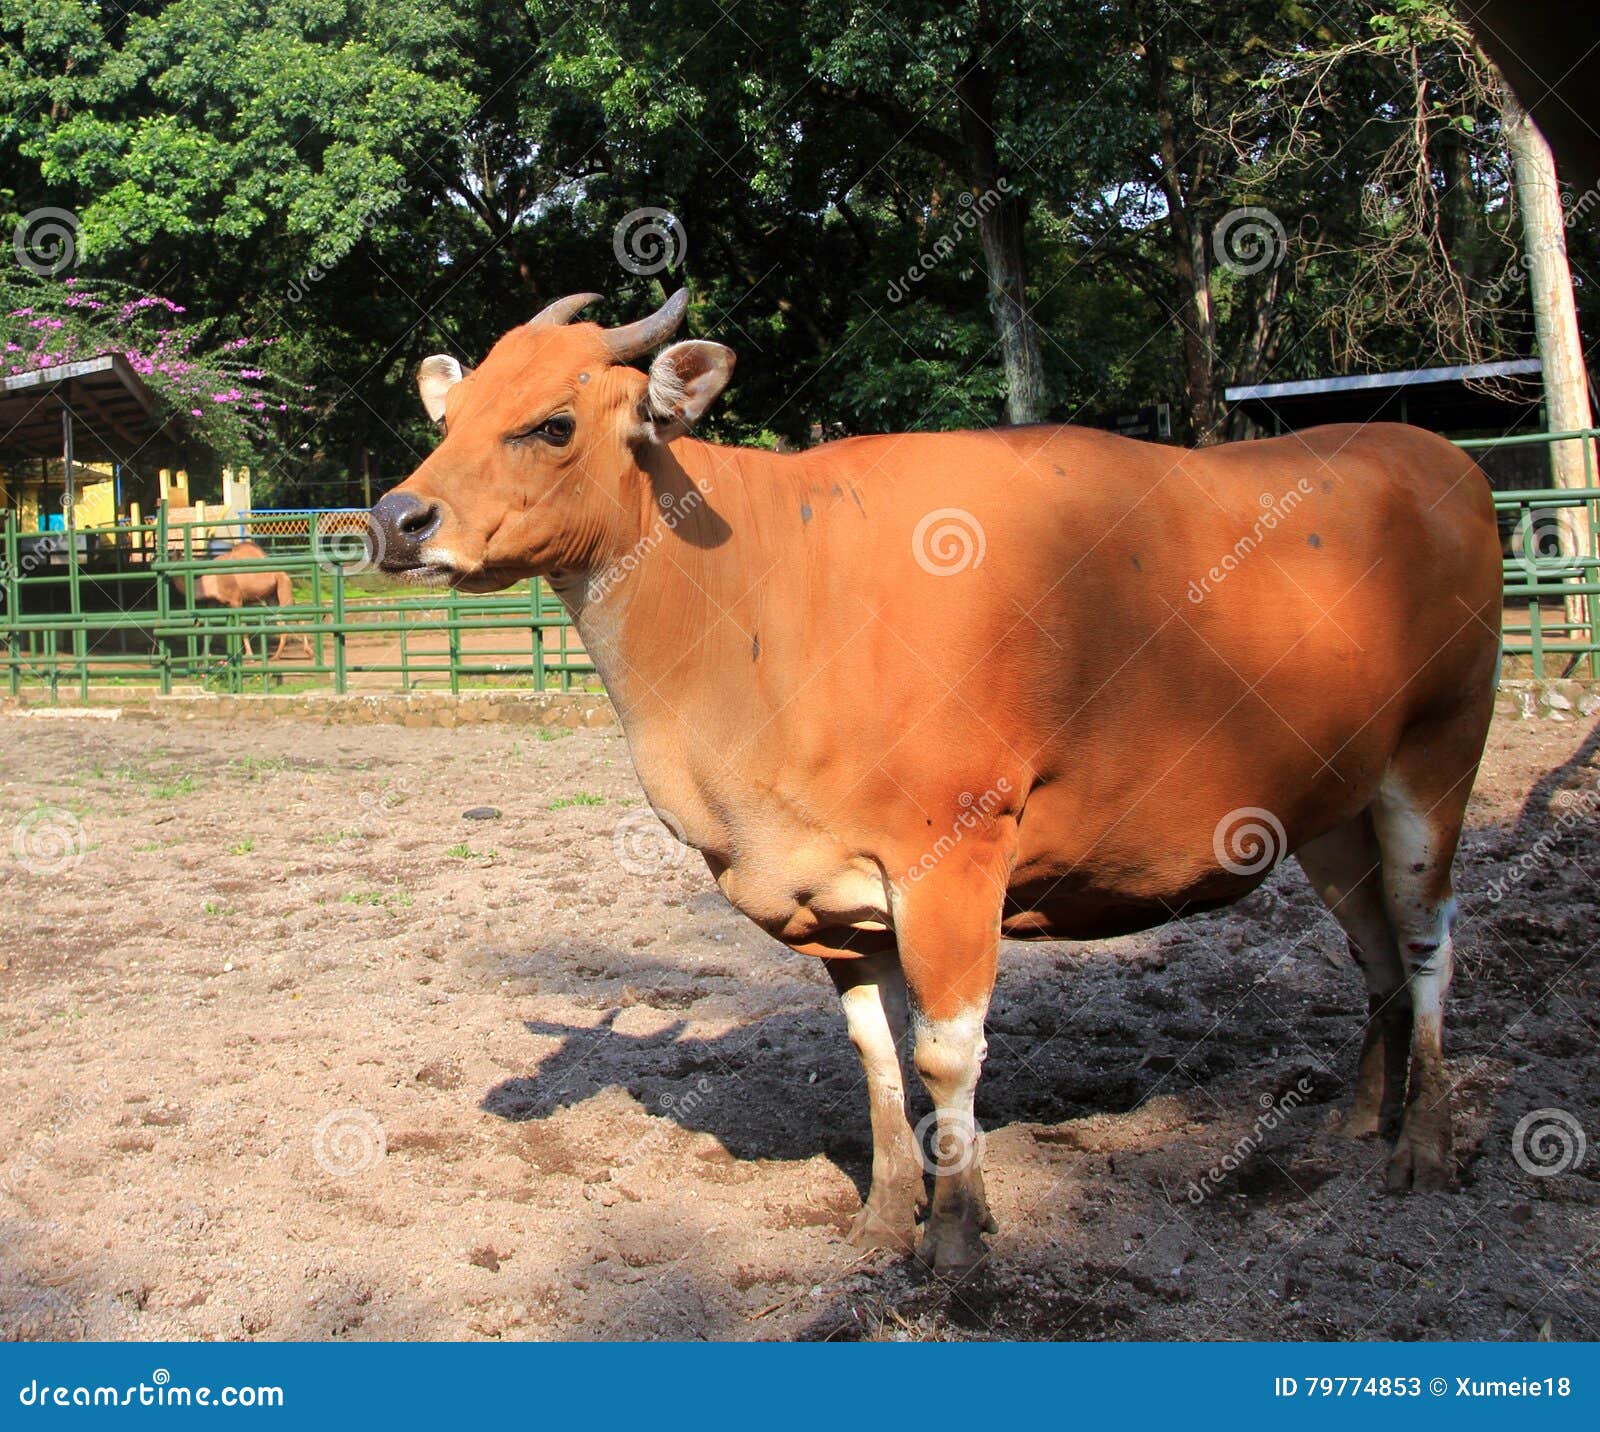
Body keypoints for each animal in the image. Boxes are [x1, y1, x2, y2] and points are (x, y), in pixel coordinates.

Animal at [175, 540, 312, 661]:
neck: (211, 581)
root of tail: (285, 574)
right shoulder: (213, 602)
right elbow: (210, 629)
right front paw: (204, 655)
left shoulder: (236, 601)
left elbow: (242, 627)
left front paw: (249, 656)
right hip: (272, 596)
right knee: (281, 619)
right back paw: (276, 656)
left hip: (284, 587)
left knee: (296, 615)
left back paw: (308, 652)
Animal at [367, 288, 1503, 1276]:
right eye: (448, 415)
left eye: (552, 422)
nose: (393, 519)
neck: (767, 594)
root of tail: (1439, 458)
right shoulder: (836, 897)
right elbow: (876, 1057)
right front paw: (883, 1216)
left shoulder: (953, 854)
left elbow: (947, 1055)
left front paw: (955, 1235)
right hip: (1327, 806)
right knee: (1373, 951)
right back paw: (1359, 1117)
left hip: (1436, 760)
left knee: (1428, 944)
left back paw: (1426, 1144)